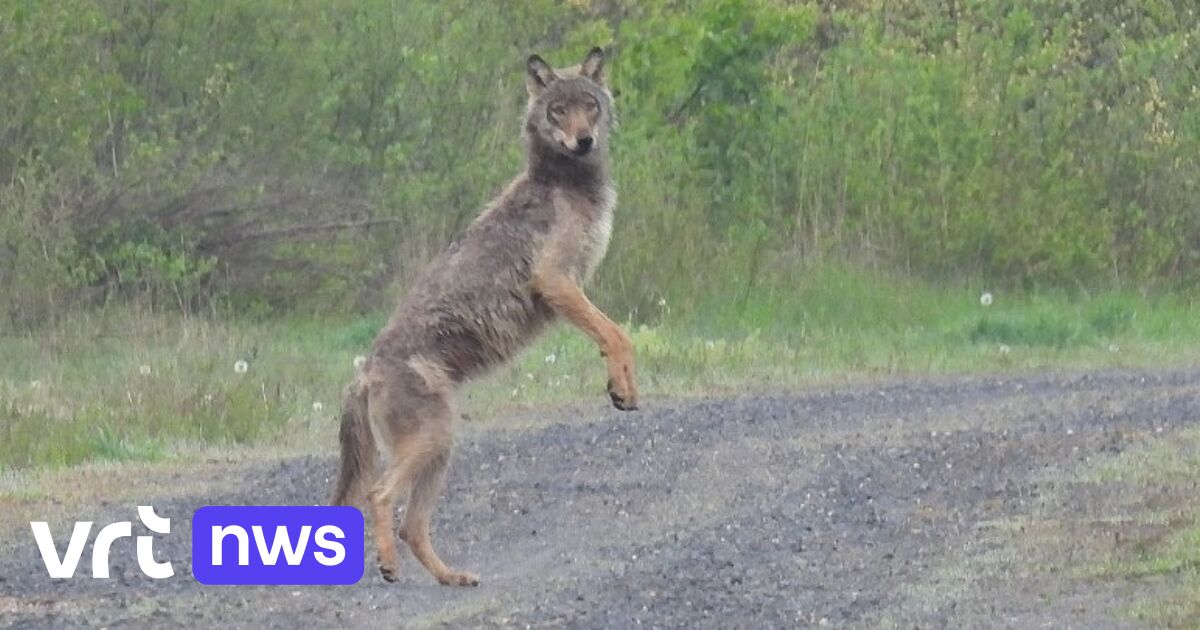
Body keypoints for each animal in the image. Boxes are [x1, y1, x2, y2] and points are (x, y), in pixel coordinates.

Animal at [330, 47, 638, 587]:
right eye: (558, 110)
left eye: (589, 106)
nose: (583, 140)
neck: (563, 185)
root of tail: (364, 371)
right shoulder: (557, 283)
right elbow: (618, 335)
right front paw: (625, 388)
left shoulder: (573, 289)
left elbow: (609, 336)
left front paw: (618, 387)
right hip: (432, 440)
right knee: (378, 496)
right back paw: (389, 567)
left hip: (441, 447)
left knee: (413, 526)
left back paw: (452, 578)